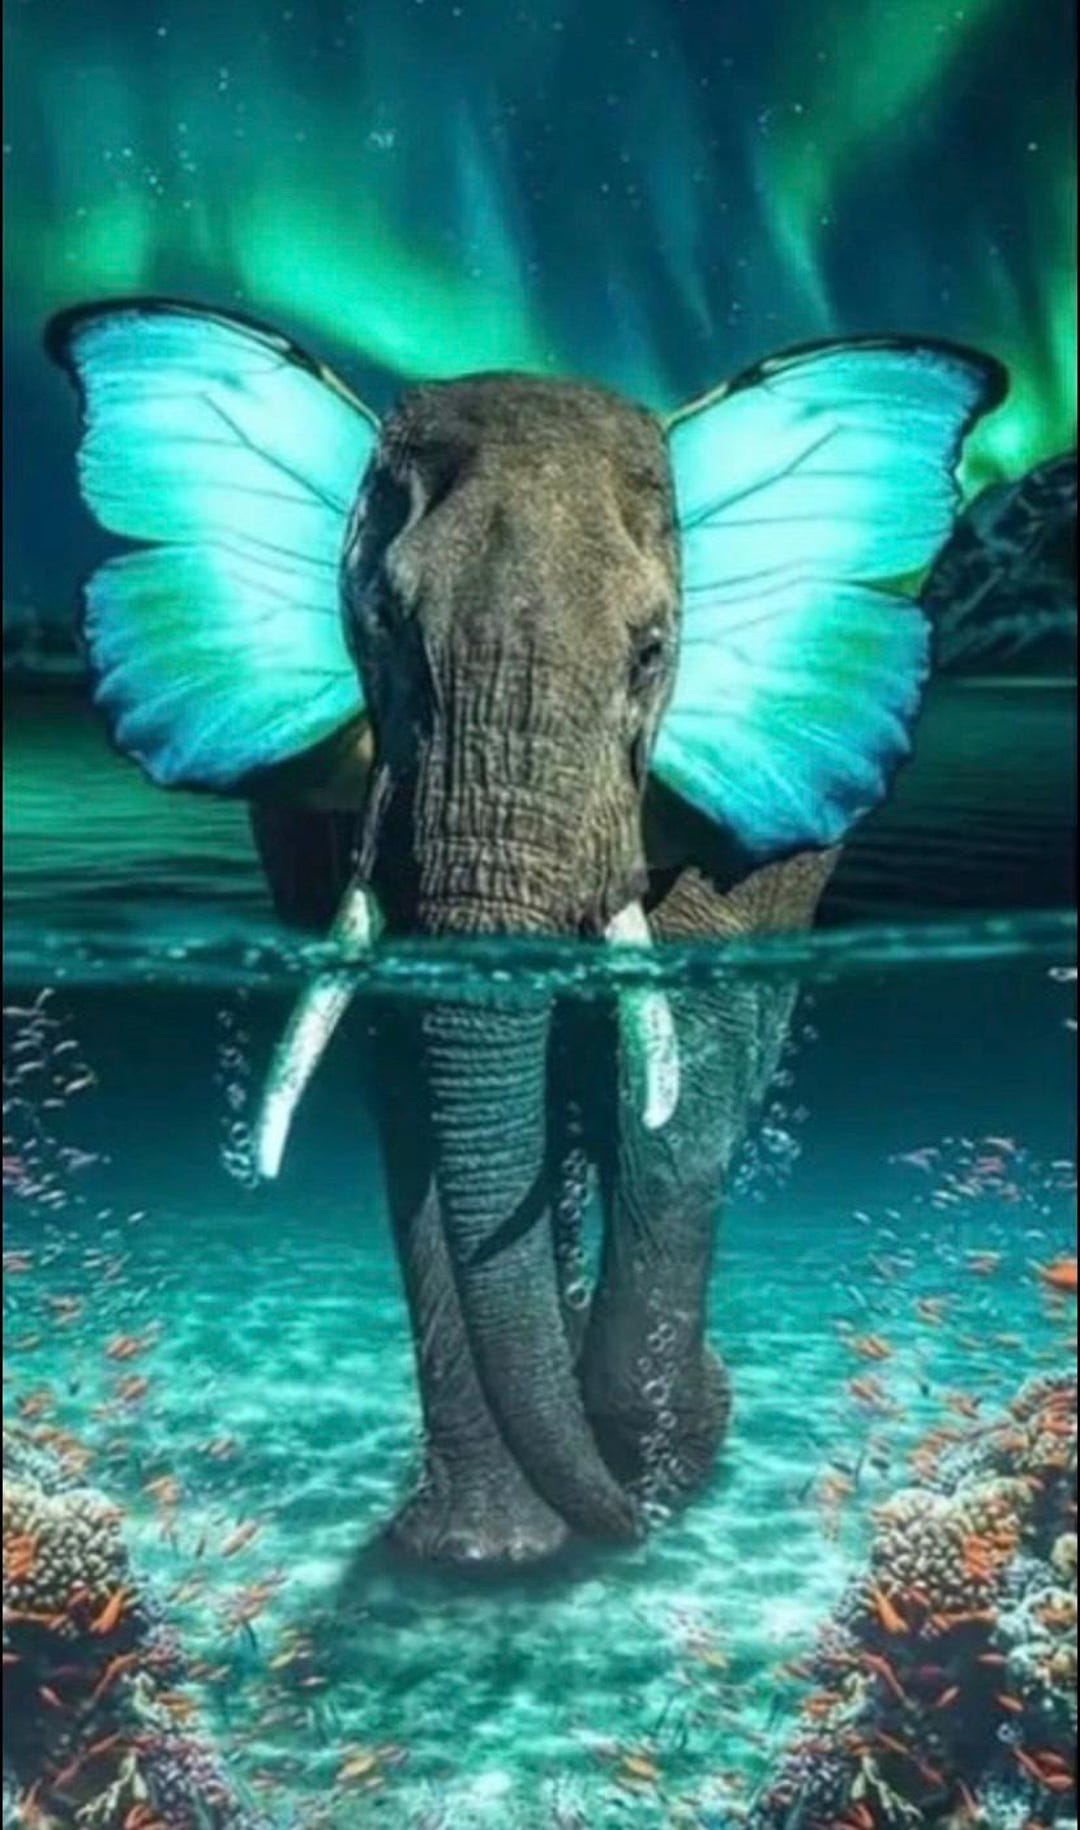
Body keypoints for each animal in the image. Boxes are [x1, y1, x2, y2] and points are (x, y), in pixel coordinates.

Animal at [48, 299, 1006, 1567]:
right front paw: (485, 1558)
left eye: (653, 653)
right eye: (382, 631)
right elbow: (419, 1092)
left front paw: (660, 1449)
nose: (637, 1529)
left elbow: (678, 1091)